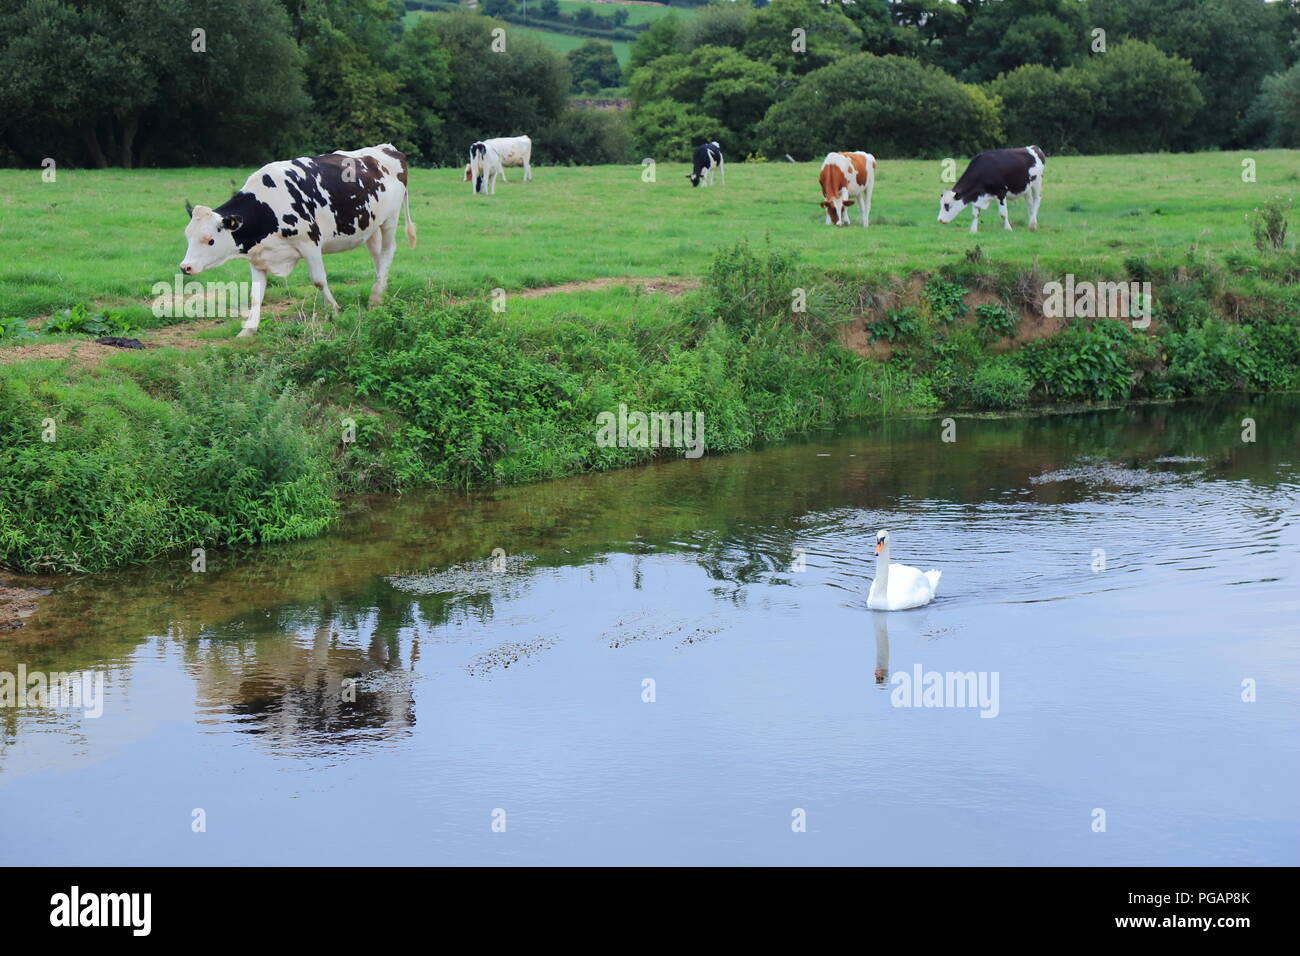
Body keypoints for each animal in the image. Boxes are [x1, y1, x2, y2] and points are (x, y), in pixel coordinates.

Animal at [179, 144, 415, 337]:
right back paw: (380, 289)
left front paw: (334, 310)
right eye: (188, 236)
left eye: (210, 240)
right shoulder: (258, 256)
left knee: (388, 251)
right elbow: (256, 294)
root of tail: (388, 149)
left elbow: (319, 280)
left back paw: (375, 297)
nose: (185, 267)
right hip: (370, 224)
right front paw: (248, 330)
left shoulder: (310, 243)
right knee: (377, 255)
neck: (268, 207)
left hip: (391, 218)